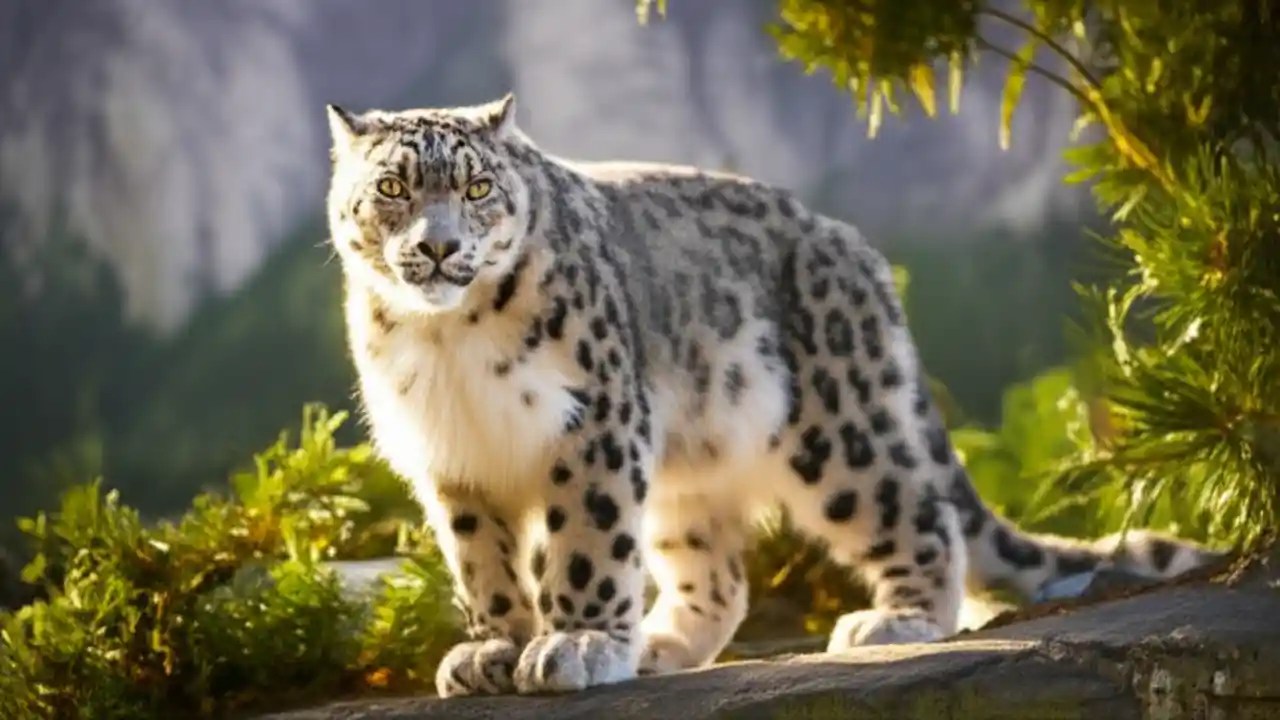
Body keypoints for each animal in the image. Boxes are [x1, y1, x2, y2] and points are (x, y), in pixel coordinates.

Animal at [323, 94, 1221, 698]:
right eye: (395, 189)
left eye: (477, 189)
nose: (439, 249)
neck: (448, 342)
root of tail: (852, 244)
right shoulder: (452, 459)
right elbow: (481, 561)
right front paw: (493, 650)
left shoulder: (596, 419)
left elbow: (588, 537)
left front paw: (576, 643)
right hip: (691, 467)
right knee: (717, 576)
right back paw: (661, 644)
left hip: (839, 429)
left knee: (921, 516)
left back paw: (891, 621)